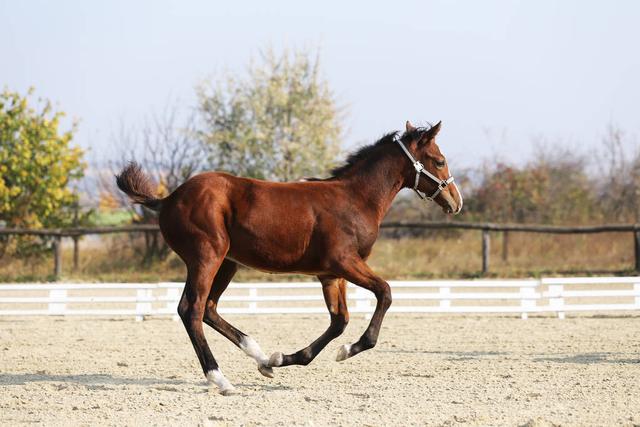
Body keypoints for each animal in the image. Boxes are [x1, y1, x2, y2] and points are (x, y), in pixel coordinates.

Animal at [116, 119, 460, 394]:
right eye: (439, 160)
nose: (456, 202)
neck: (355, 199)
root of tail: (169, 198)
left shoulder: (330, 274)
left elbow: (339, 321)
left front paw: (284, 358)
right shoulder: (344, 263)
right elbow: (384, 293)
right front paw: (349, 350)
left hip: (227, 263)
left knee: (209, 309)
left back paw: (262, 359)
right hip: (206, 257)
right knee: (192, 309)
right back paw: (221, 379)